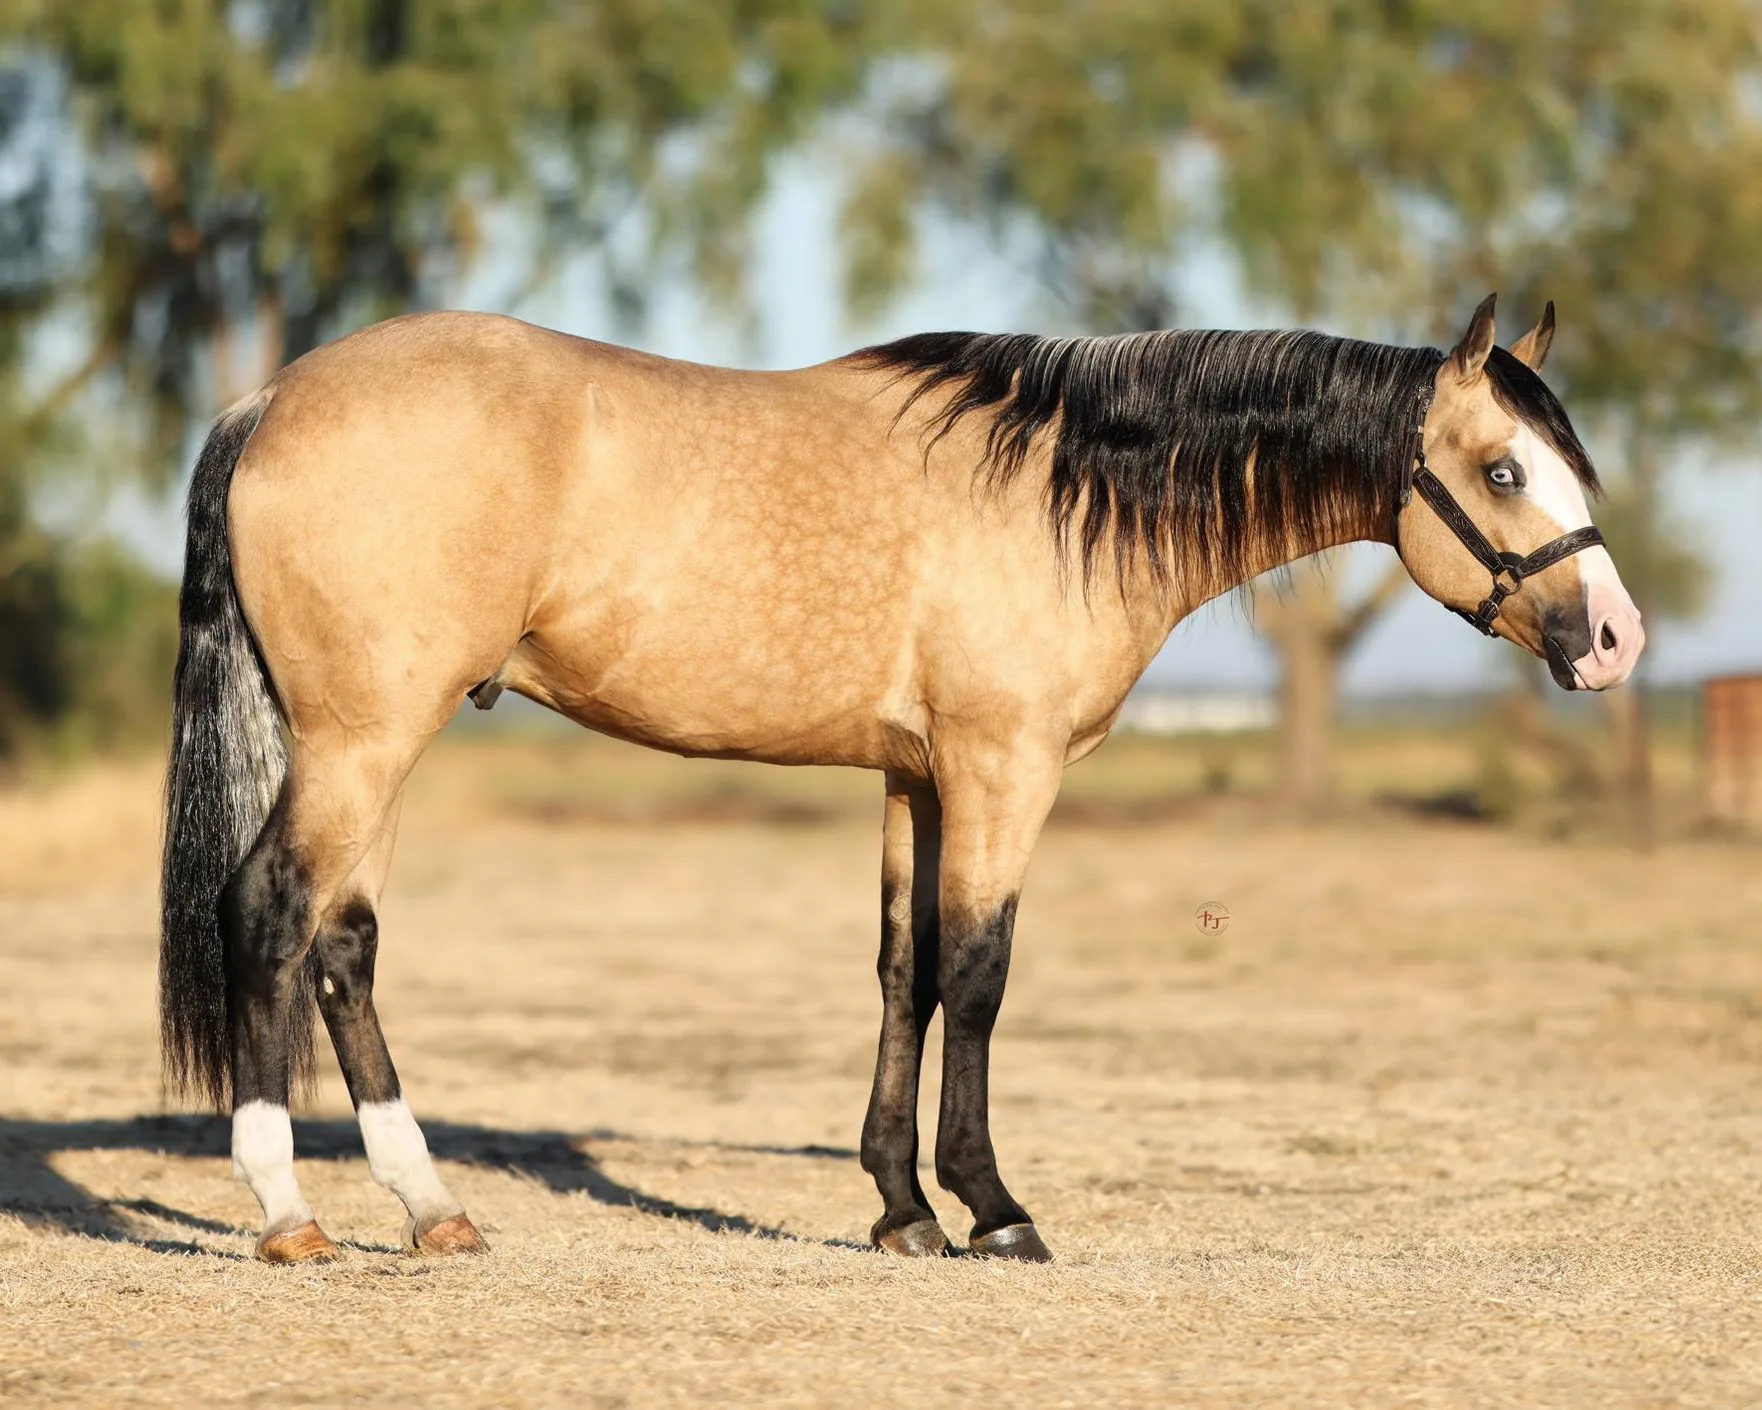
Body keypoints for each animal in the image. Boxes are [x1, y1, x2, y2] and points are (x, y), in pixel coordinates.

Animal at [160, 293, 1642, 1265]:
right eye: (1500, 469)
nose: (1616, 637)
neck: (1057, 493)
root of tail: (270, 399)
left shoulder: (916, 780)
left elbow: (904, 972)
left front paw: (901, 1207)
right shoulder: (1001, 768)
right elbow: (978, 975)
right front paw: (993, 1208)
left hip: (371, 743)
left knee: (344, 943)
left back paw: (432, 1210)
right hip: (363, 738)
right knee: (270, 914)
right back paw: (289, 1216)